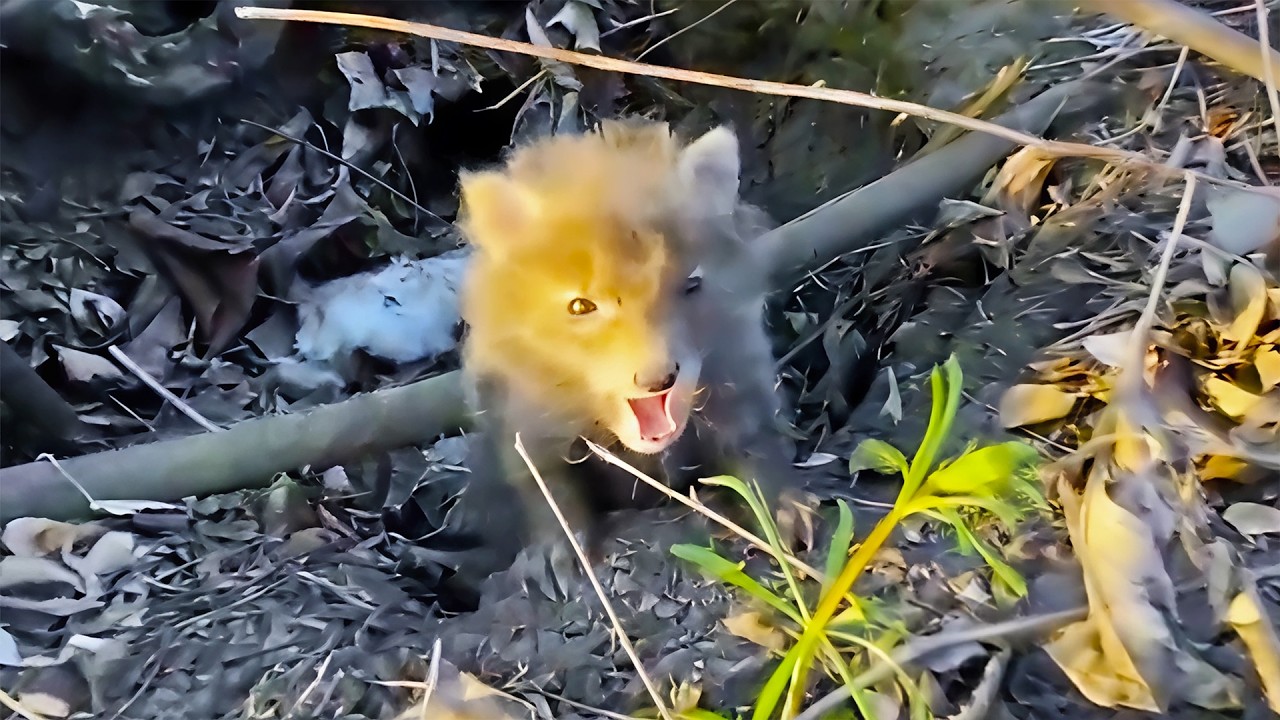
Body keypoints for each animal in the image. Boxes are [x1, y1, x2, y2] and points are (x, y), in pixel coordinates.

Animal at [445, 118, 798, 587]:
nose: (658, 379)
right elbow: (546, 487)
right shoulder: (525, 426)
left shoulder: (741, 383)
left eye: (691, 285)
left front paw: (783, 512)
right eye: (580, 306)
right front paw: (559, 553)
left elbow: (757, 450)